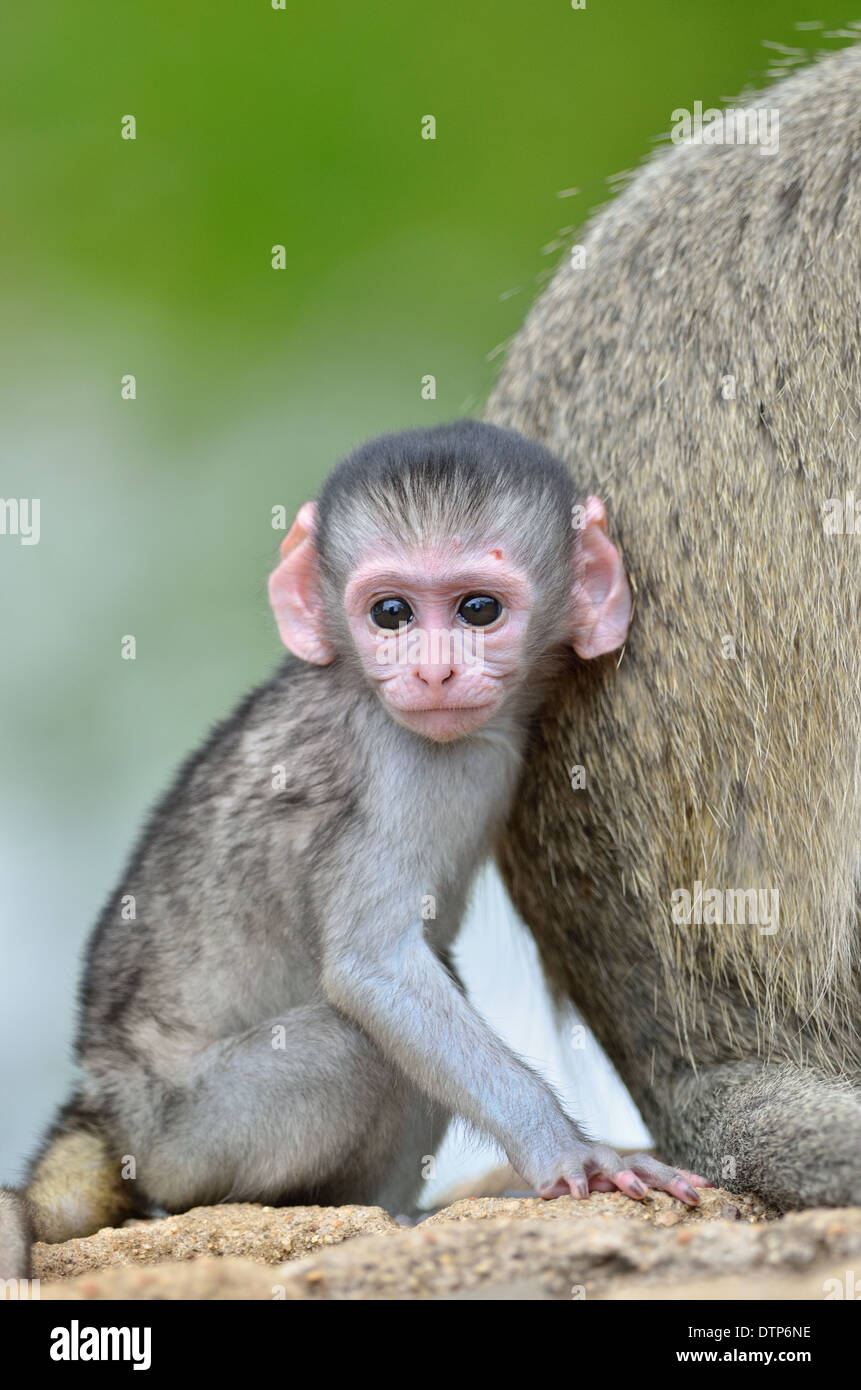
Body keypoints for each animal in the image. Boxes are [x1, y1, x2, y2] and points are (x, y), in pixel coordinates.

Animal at [0, 420, 709, 1281]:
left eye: (478, 609)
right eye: (391, 613)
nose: (431, 669)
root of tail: (105, 1108)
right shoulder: (392, 773)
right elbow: (374, 971)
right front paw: (567, 1151)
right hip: (189, 1139)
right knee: (359, 1048)